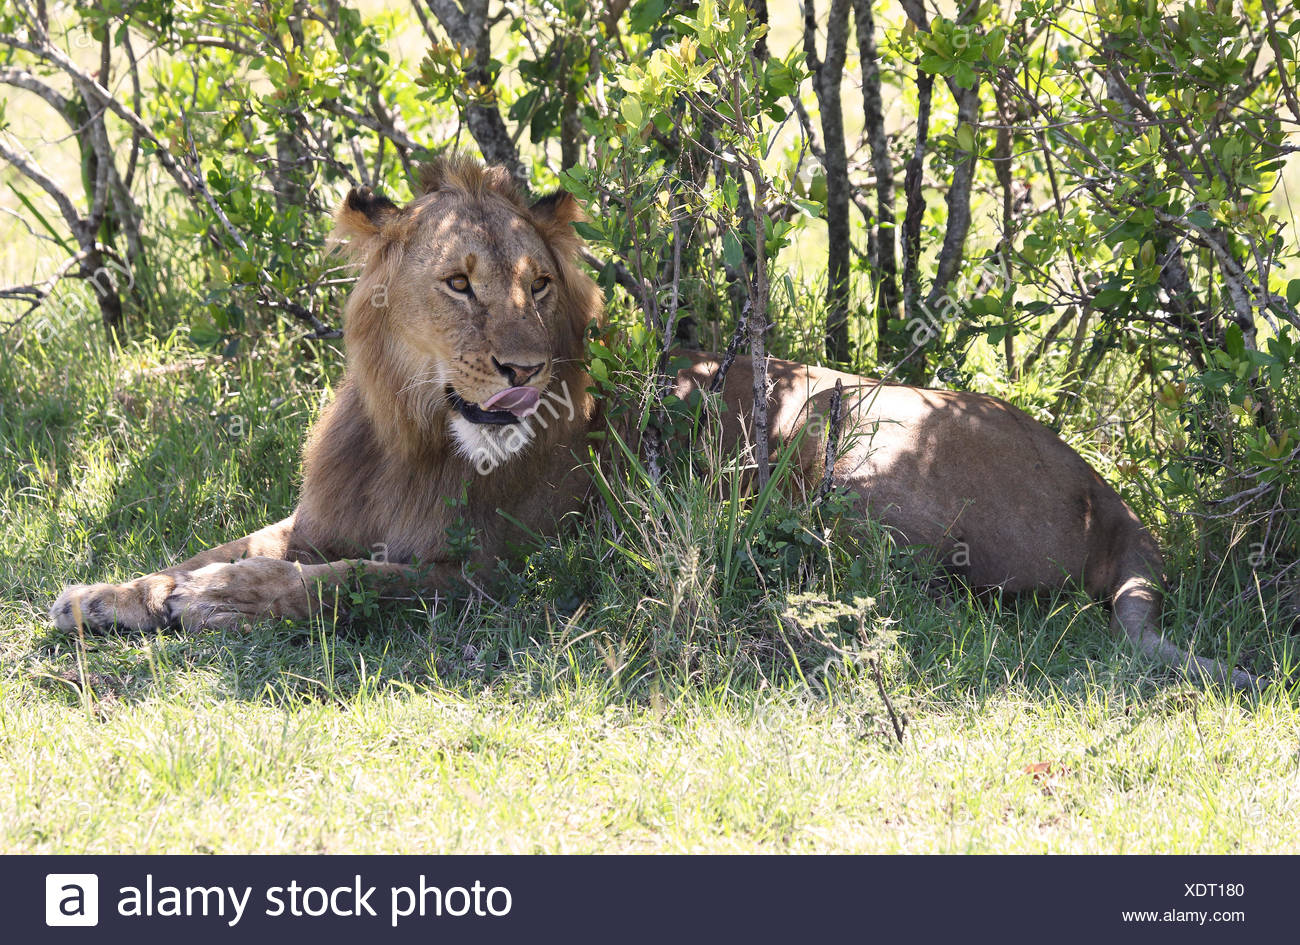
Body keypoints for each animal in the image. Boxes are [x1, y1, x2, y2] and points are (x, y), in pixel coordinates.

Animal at [51, 154, 1258, 690]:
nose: (524, 374)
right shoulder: (315, 519)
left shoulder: (497, 572)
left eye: (538, 285)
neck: (411, 437)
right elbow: (214, 546)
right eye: (458, 284)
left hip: (852, 432)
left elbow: (347, 584)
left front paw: (219, 601)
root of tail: (1105, 488)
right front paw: (104, 594)